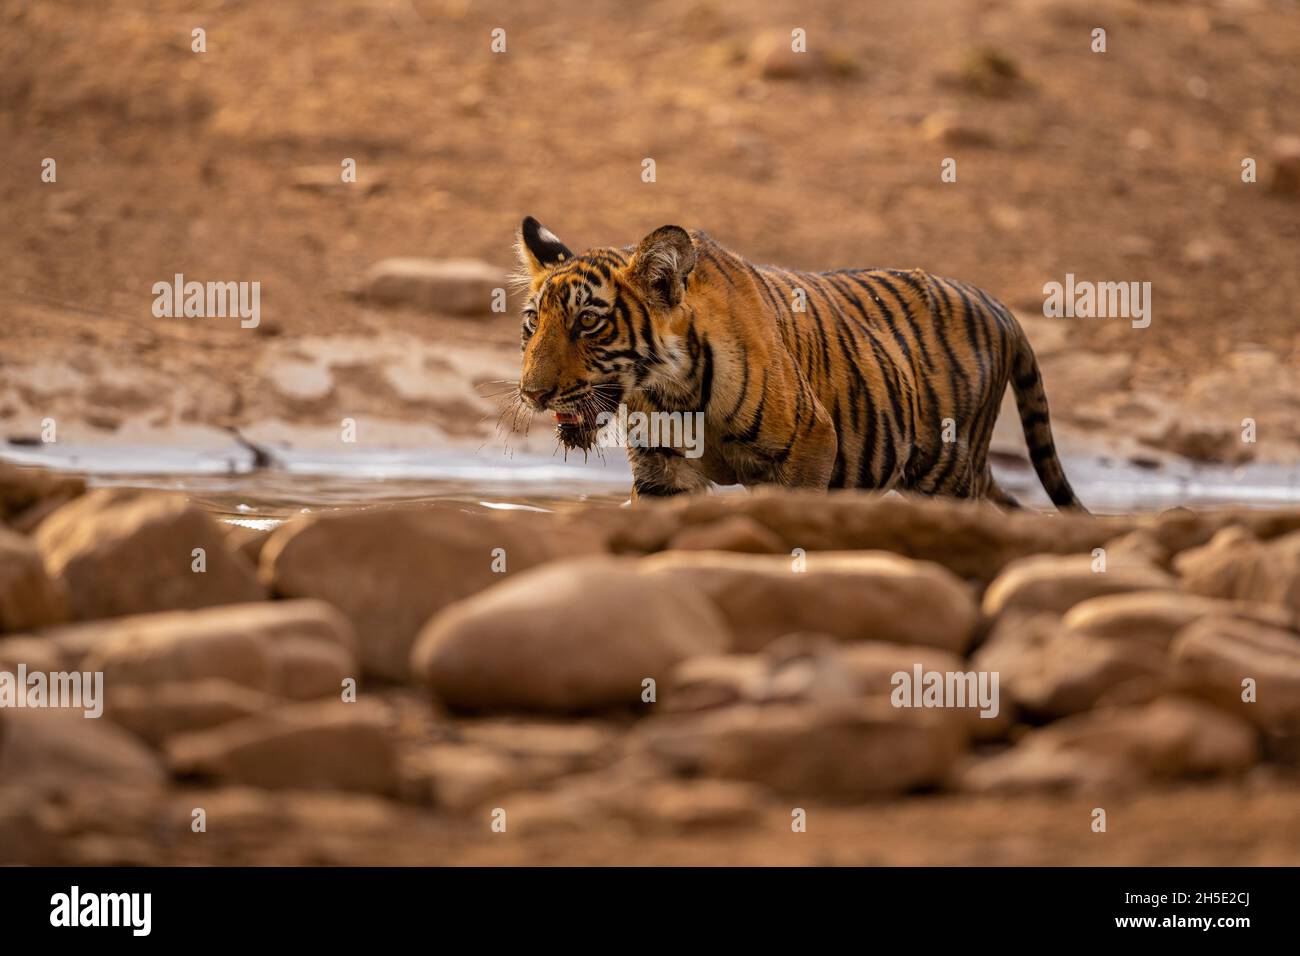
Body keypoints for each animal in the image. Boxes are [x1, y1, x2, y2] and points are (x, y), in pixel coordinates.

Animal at [512, 215, 1085, 511]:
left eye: (589, 322)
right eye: (532, 322)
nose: (532, 394)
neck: (669, 390)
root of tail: (999, 305)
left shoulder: (810, 446)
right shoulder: (662, 472)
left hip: (946, 472)